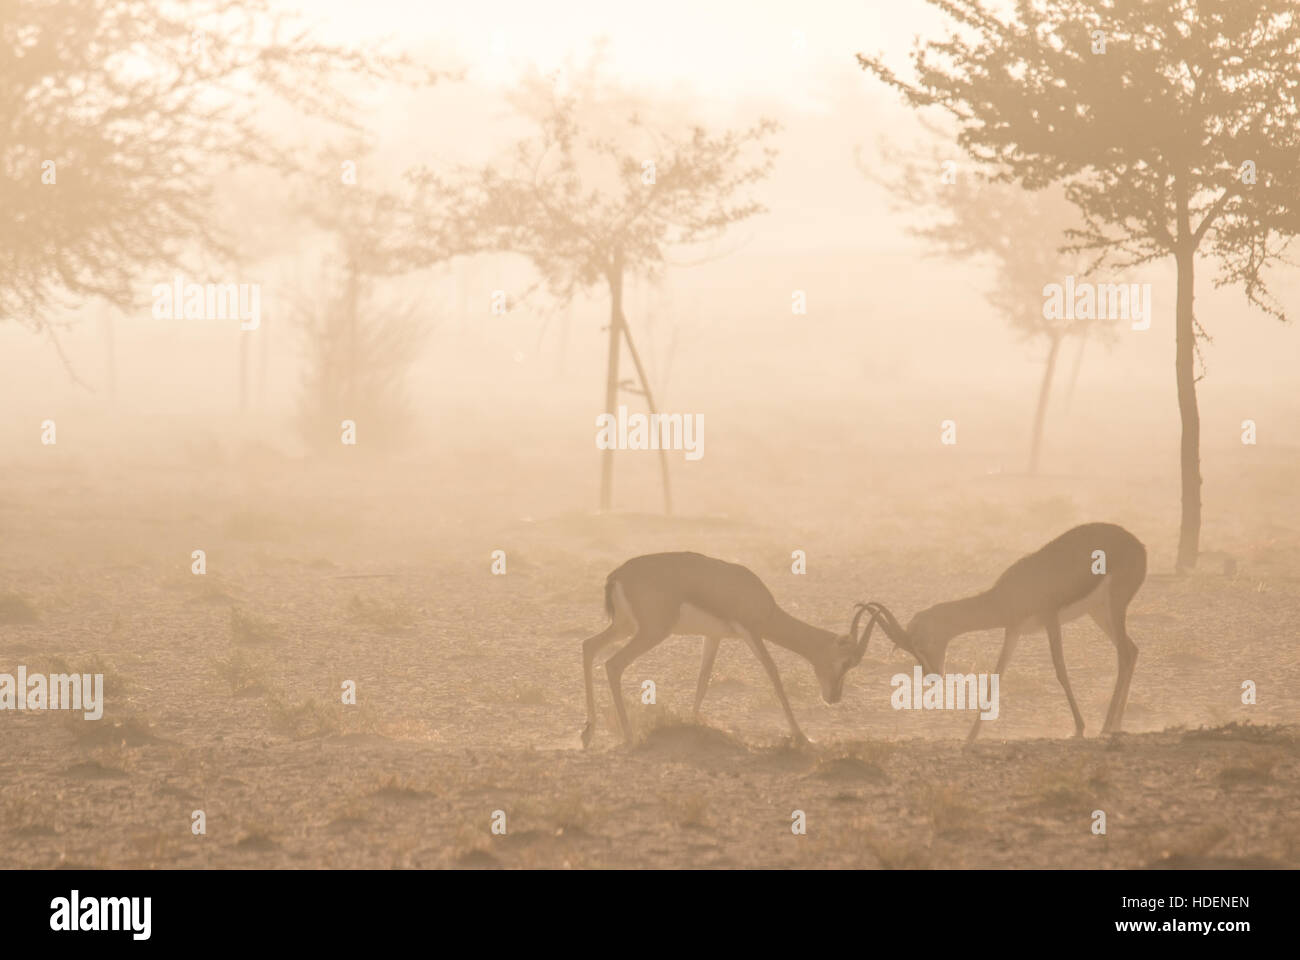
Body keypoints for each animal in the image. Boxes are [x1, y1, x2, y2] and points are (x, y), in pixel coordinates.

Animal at [580, 552, 876, 748]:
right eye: (846, 661)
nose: (834, 698)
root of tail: (617, 574)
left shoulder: (713, 637)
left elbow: (703, 680)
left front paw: (694, 722)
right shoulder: (750, 632)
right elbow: (773, 673)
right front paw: (802, 735)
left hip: (625, 627)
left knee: (588, 646)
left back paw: (588, 733)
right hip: (650, 632)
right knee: (613, 664)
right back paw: (628, 735)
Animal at [863, 522, 1146, 742]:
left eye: (919, 644)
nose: (932, 676)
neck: (1004, 595)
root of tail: (1137, 543)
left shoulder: (1050, 618)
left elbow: (1060, 670)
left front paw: (1079, 728)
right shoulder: (1014, 630)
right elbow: (997, 674)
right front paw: (971, 735)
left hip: (1114, 606)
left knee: (1124, 654)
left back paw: (1106, 726)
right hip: (1098, 612)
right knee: (1131, 651)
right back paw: (1116, 724)